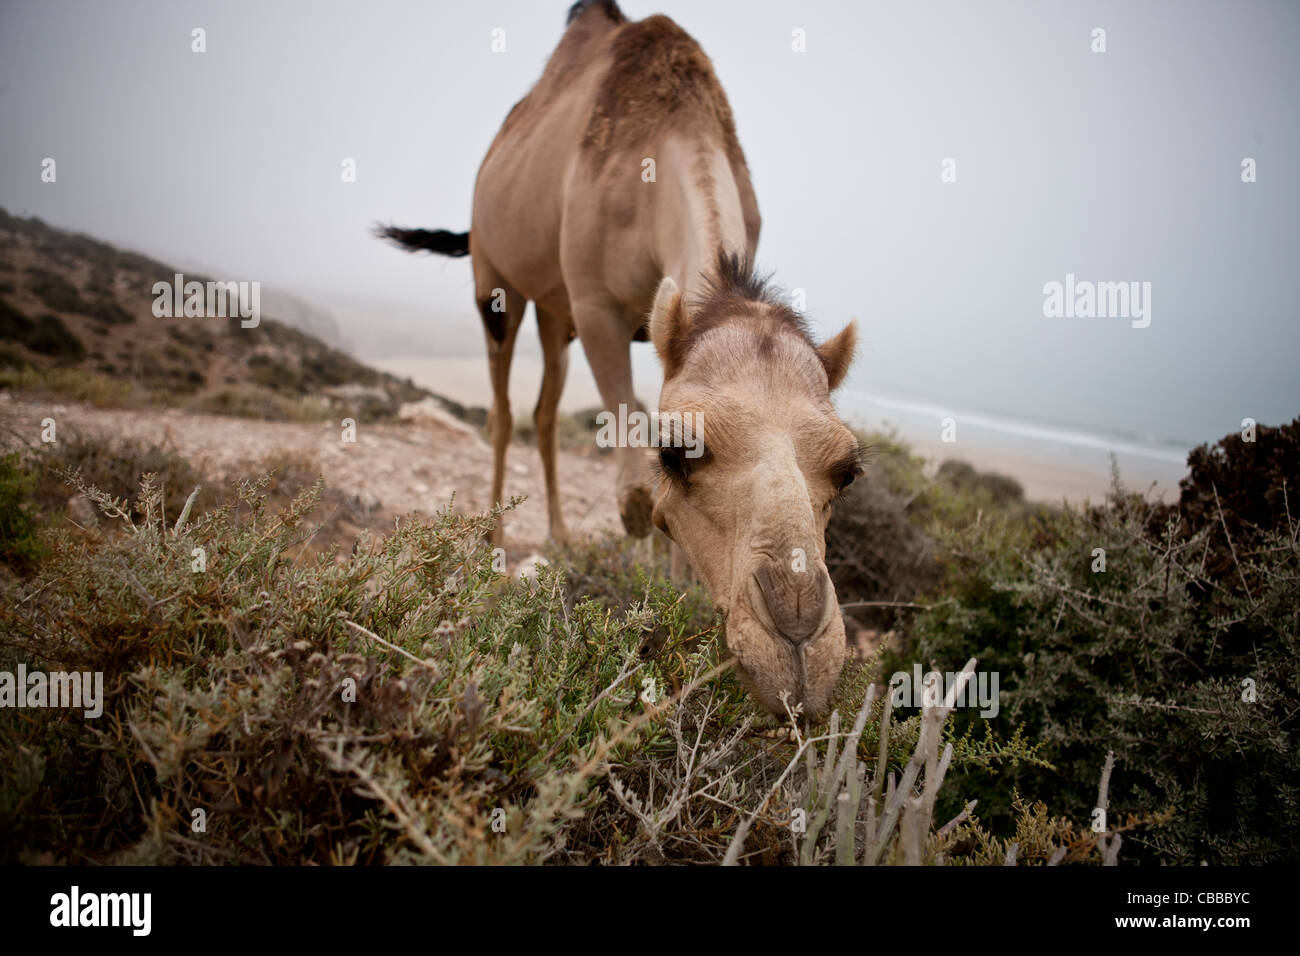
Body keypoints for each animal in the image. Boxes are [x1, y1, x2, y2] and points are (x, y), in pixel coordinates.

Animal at [379, 0, 861, 717]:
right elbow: (636, 496)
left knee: (545, 410)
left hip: (556, 316)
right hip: (498, 282)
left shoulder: (660, 324)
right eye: (677, 450)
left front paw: (680, 590)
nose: (800, 648)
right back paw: (496, 544)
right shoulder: (599, 308)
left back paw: (558, 535)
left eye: (849, 470)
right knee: (503, 409)